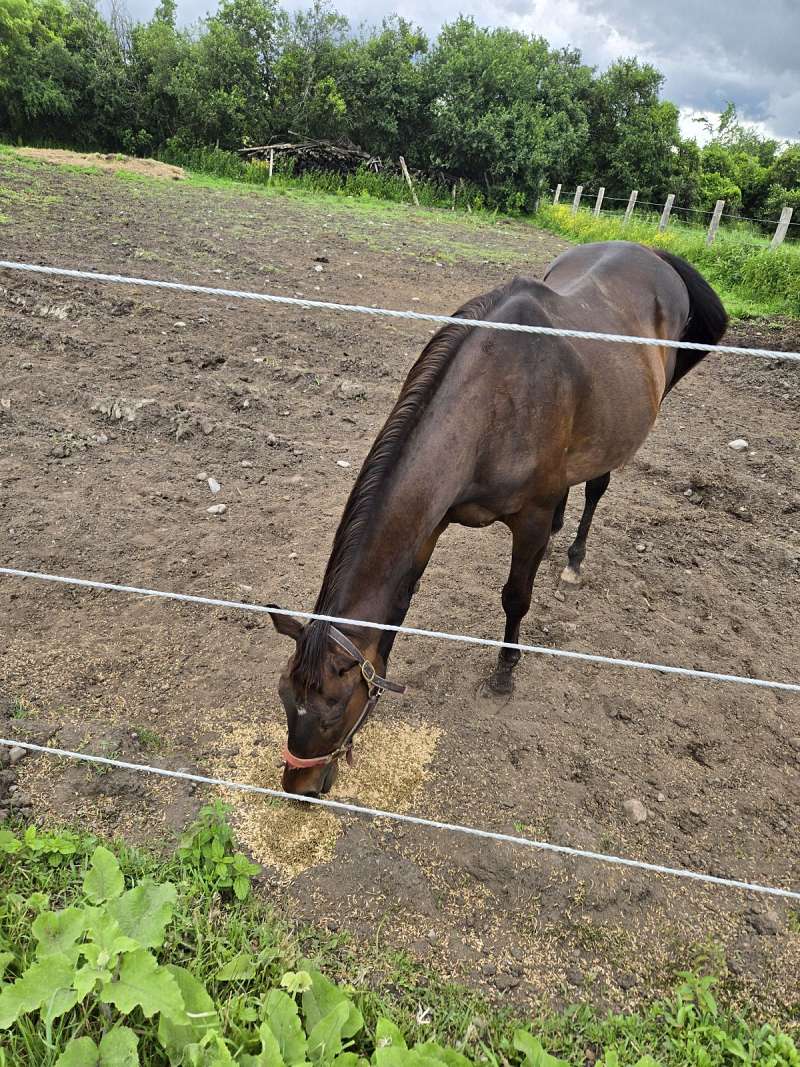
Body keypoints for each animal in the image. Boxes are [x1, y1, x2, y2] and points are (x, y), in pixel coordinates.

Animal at [268, 240, 728, 797]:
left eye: (333, 710)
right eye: (285, 696)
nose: (299, 789)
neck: (493, 401)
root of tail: (651, 252)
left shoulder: (527, 519)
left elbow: (516, 596)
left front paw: (505, 672)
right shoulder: (433, 522)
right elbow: (399, 604)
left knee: (597, 486)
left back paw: (573, 559)